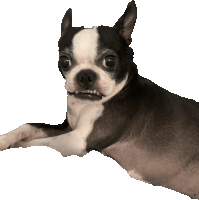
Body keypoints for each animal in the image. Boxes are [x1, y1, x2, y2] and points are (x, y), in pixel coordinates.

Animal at [0, 0, 199, 198]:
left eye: (109, 61)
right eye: (64, 61)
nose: (85, 76)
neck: (86, 105)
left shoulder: (77, 140)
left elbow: (41, 144)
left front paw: (19, 145)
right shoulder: (67, 128)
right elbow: (29, 126)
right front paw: (5, 139)